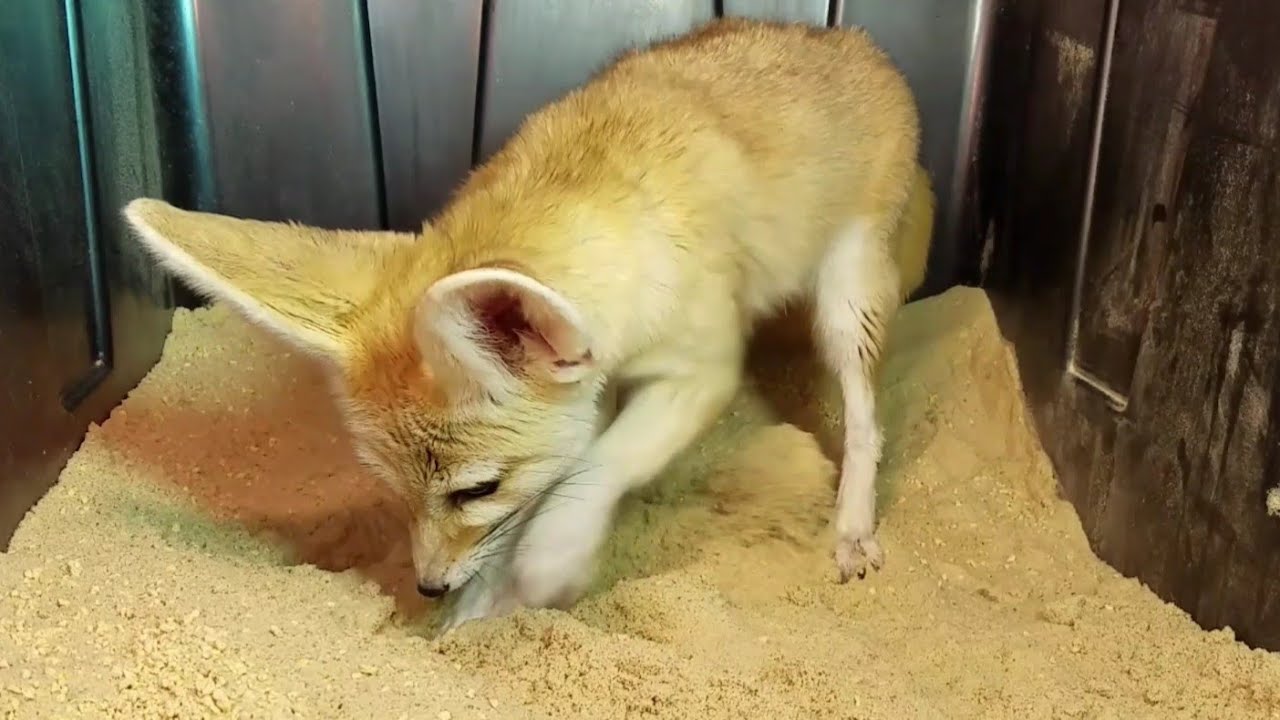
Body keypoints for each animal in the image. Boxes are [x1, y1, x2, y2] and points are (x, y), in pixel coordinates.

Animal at [121, 16, 934, 629]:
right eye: (392, 488)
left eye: (473, 490)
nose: (428, 587)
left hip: (846, 300)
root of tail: (848, 38)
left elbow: (598, 466)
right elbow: (558, 479)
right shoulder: (587, 398)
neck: (607, 205)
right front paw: (479, 608)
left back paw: (852, 525)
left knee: (865, 420)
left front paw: (549, 561)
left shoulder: (700, 369)